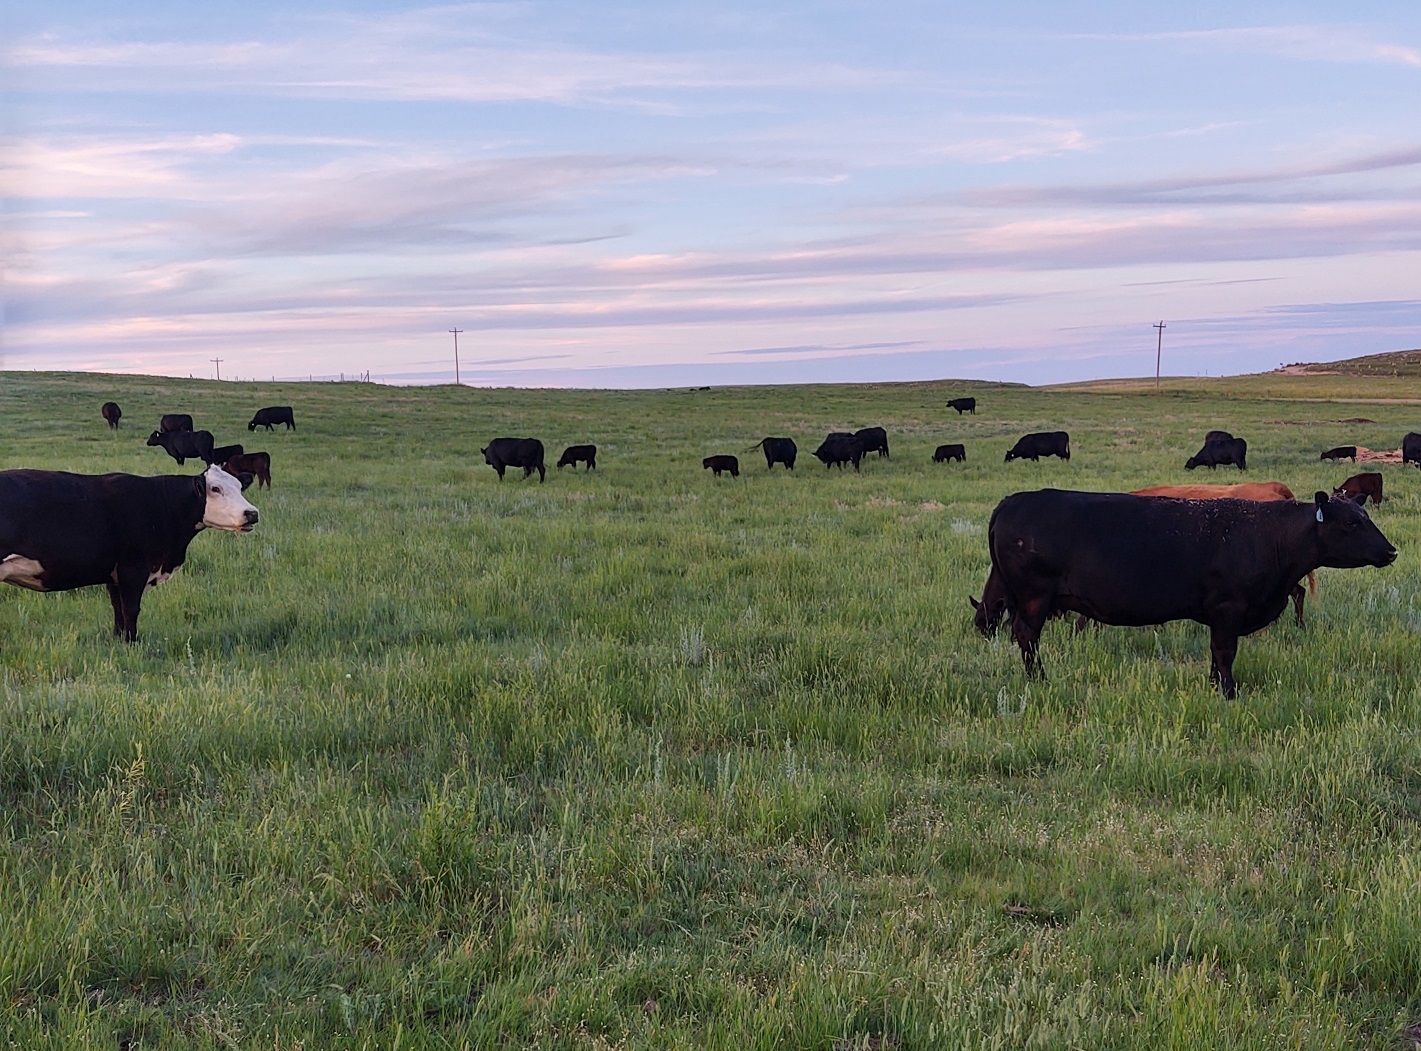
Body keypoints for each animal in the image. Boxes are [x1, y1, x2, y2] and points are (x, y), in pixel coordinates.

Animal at [0, 464, 258, 641]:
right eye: (215, 488)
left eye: (239, 487)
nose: (252, 513)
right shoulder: (133, 568)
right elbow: (131, 608)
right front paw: (132, 642)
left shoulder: (114, 574)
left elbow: (118, 609)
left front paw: (118, 640)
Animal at [987, 488, 1396, 697]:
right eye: (1351, 522)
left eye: (1365, 517)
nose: (1391, 551)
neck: (1269, 537)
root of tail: (1012, 500)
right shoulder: (1228, 608)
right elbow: (1225, 651)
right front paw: (1229, 692)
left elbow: (1217, 654)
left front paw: (1215, 685)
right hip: (1035, 595)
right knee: (1026, 635)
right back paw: (1039, 679)